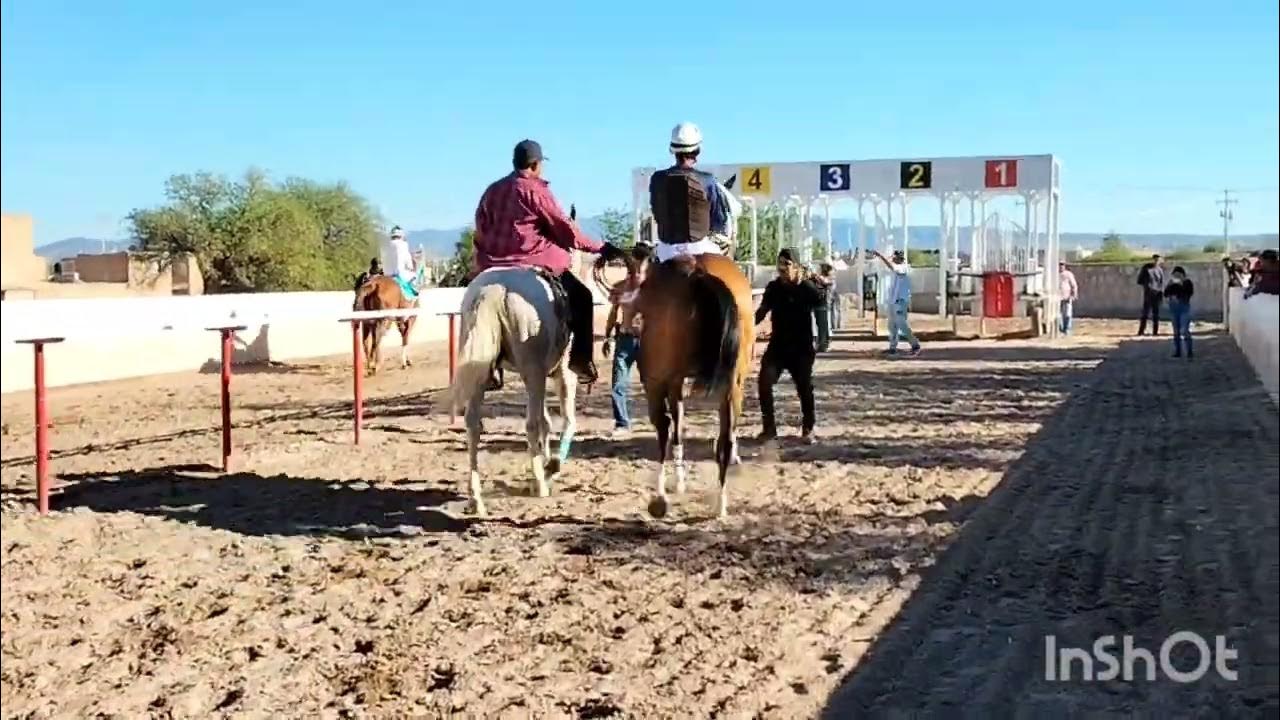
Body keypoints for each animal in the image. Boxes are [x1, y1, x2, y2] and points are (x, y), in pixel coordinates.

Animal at [595, 248, 755, 520]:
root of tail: (699, 273)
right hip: (733, 382)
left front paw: (662, 493)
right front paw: (680, 481)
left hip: (660, 380)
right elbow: (679, 428)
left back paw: (662, 496)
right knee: (725, 438)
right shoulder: (679, 382)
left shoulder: (660, 381)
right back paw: (720, 504)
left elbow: (668, 428)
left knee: (664, 427)